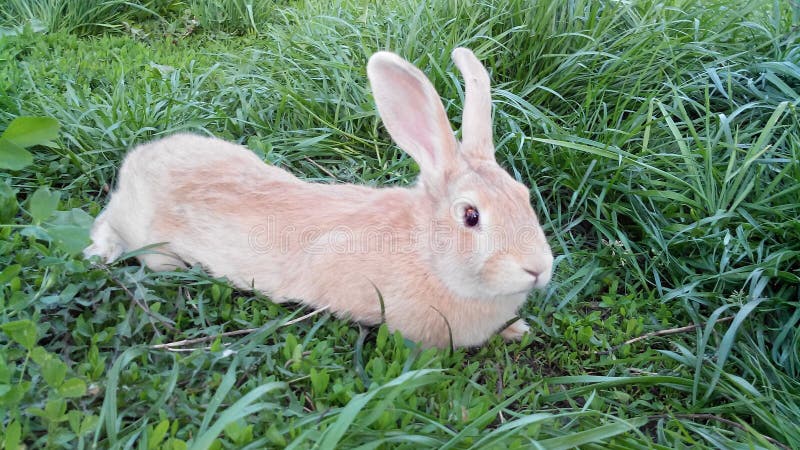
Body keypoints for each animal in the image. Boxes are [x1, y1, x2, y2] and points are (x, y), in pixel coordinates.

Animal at [83, 48, 554, 348]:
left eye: (524, 196)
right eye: (471, 216)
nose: (537, 269)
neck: (427, 255)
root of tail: (138, 161)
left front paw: (517, 330)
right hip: (141, 231)